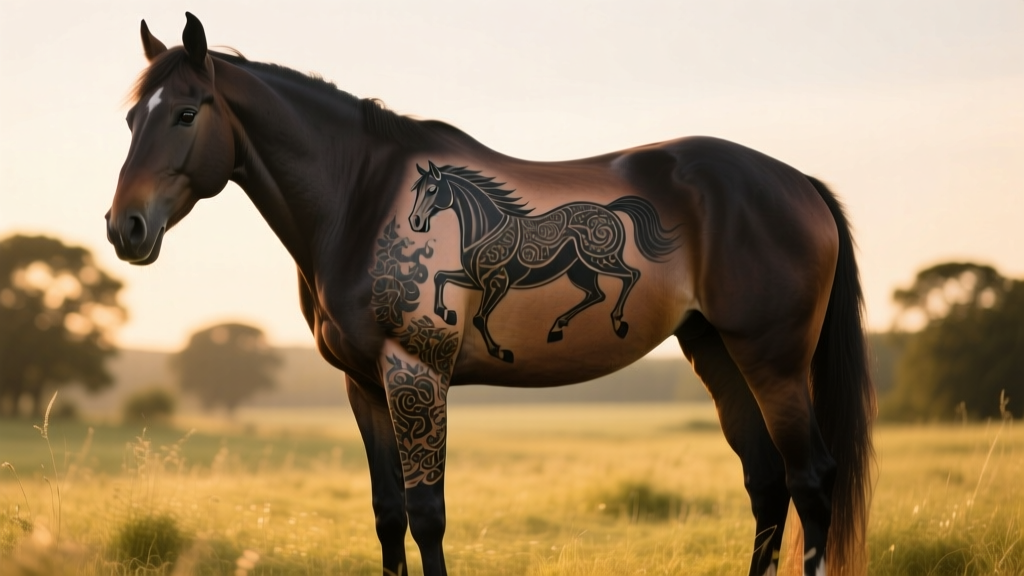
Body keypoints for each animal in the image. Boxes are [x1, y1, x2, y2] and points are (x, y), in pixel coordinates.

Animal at [106, 14, 874, 576]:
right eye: (132, 119)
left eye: (186, 113)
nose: (125, 227)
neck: (358, 200)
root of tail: (800, 182)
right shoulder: (364, 385)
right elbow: (388, 516)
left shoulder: (415, 372)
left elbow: (428, 515)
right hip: (714, 351)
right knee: (767, 485)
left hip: (773, 362)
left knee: (810, 481)